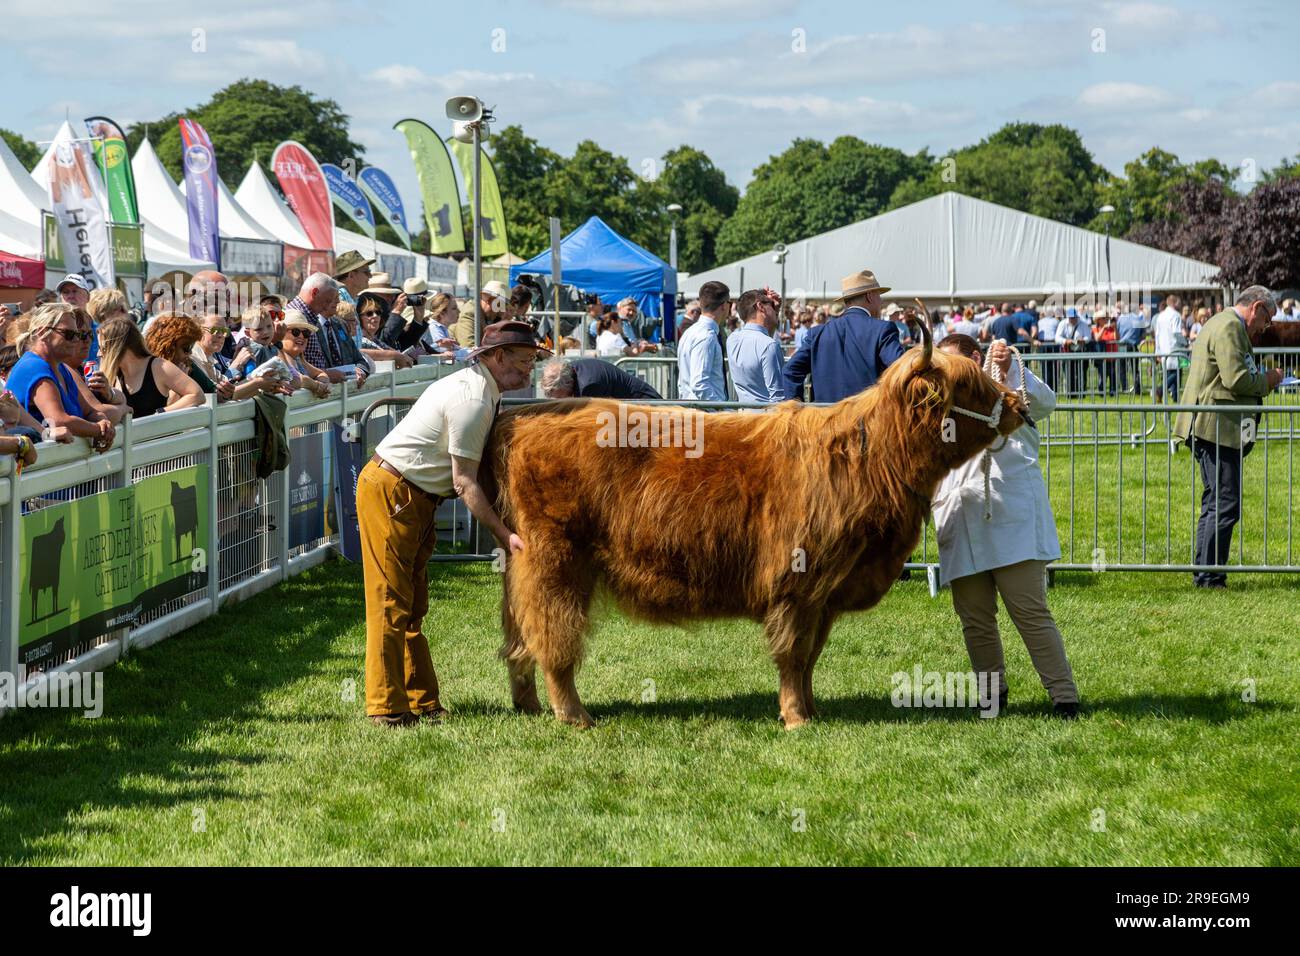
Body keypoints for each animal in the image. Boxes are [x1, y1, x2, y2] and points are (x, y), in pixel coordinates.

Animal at [482, 322, 1028, 728]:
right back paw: (573, 715)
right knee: (552, 635)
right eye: (969, 385)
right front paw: (795, 718)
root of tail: (524, 416)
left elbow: (812, 656)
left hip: (522, 565)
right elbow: (794, 654)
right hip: (556, 563)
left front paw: (811, 708)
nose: (1019, 405)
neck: (869, 459)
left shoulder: (824, 593)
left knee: (517, 636)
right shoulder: (797, 582)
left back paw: (528, 705)